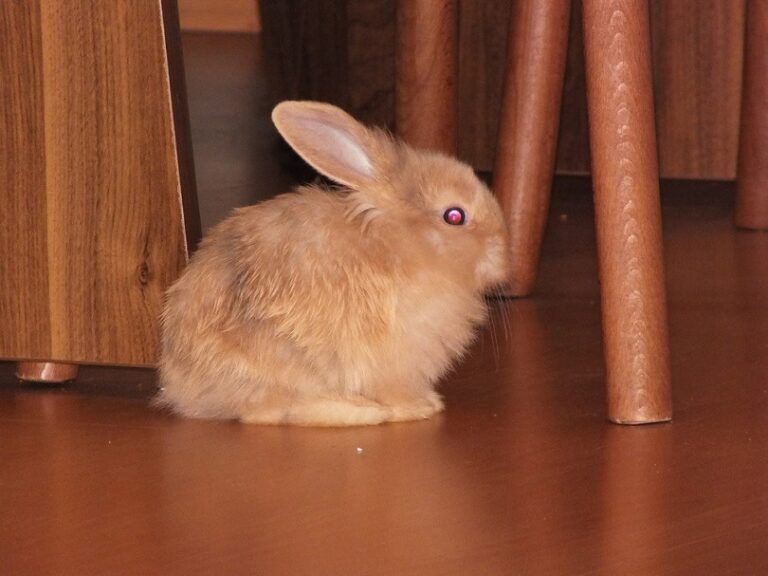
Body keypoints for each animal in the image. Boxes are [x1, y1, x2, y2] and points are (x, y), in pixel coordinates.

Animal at [155, 101, 510, 426]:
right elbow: (394, 390)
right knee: (272, 412)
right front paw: (421, 407)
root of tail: (180, 390)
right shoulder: (389, 361)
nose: (505, 258)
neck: (402, 247)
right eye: (455, 216)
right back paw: (363, 411)